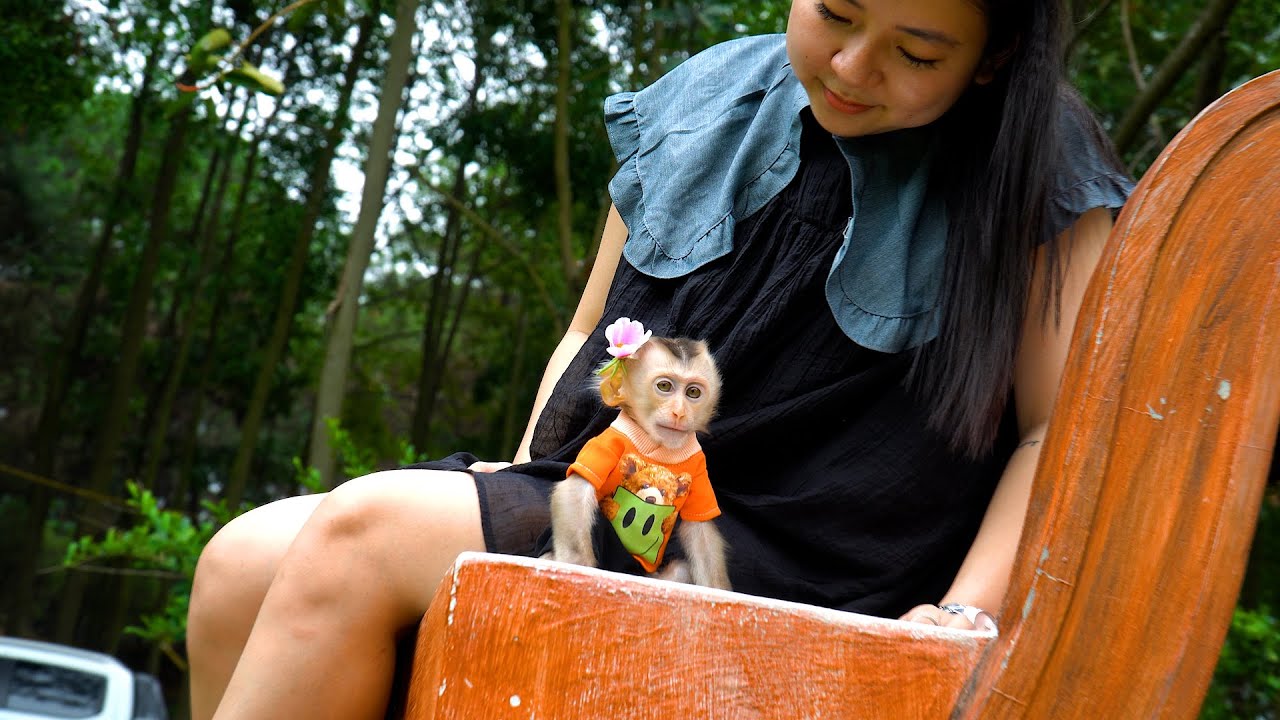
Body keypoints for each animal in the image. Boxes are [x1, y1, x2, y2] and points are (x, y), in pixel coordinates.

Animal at [548, 330, 731, 590]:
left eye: (693, 393)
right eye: (664, 386)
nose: (679, 412)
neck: (658, 448)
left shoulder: (699, 466)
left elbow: (699, 532)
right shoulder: (607, 443)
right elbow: (576, 490)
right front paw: (576, 571)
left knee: (681, 571)